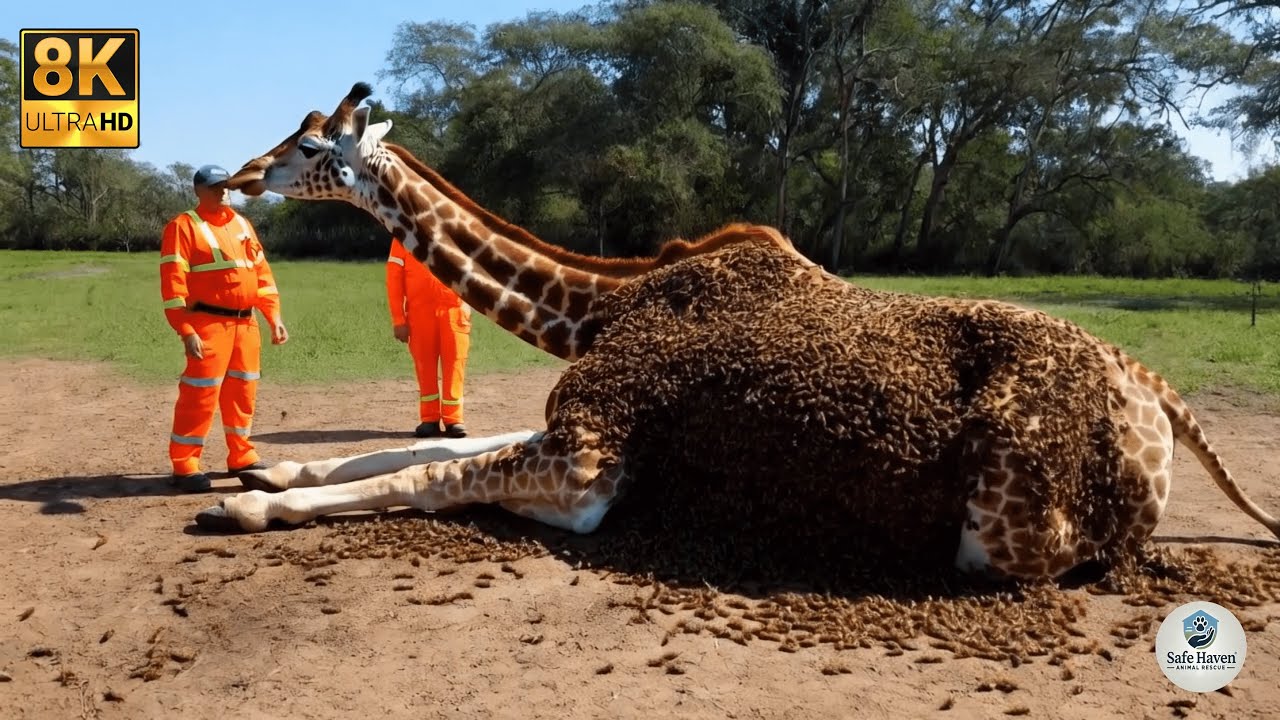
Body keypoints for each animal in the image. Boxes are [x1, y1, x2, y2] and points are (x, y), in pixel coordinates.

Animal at [196, 82, 1280, 581]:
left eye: (305, 147)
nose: (237, 176)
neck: (605, 306)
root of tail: (1152, 392)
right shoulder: (582, 428)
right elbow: (414, 451)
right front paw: (273, 469)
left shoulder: (589, 470)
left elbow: (423, 477)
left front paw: (248, 507)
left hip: (1007, 540)